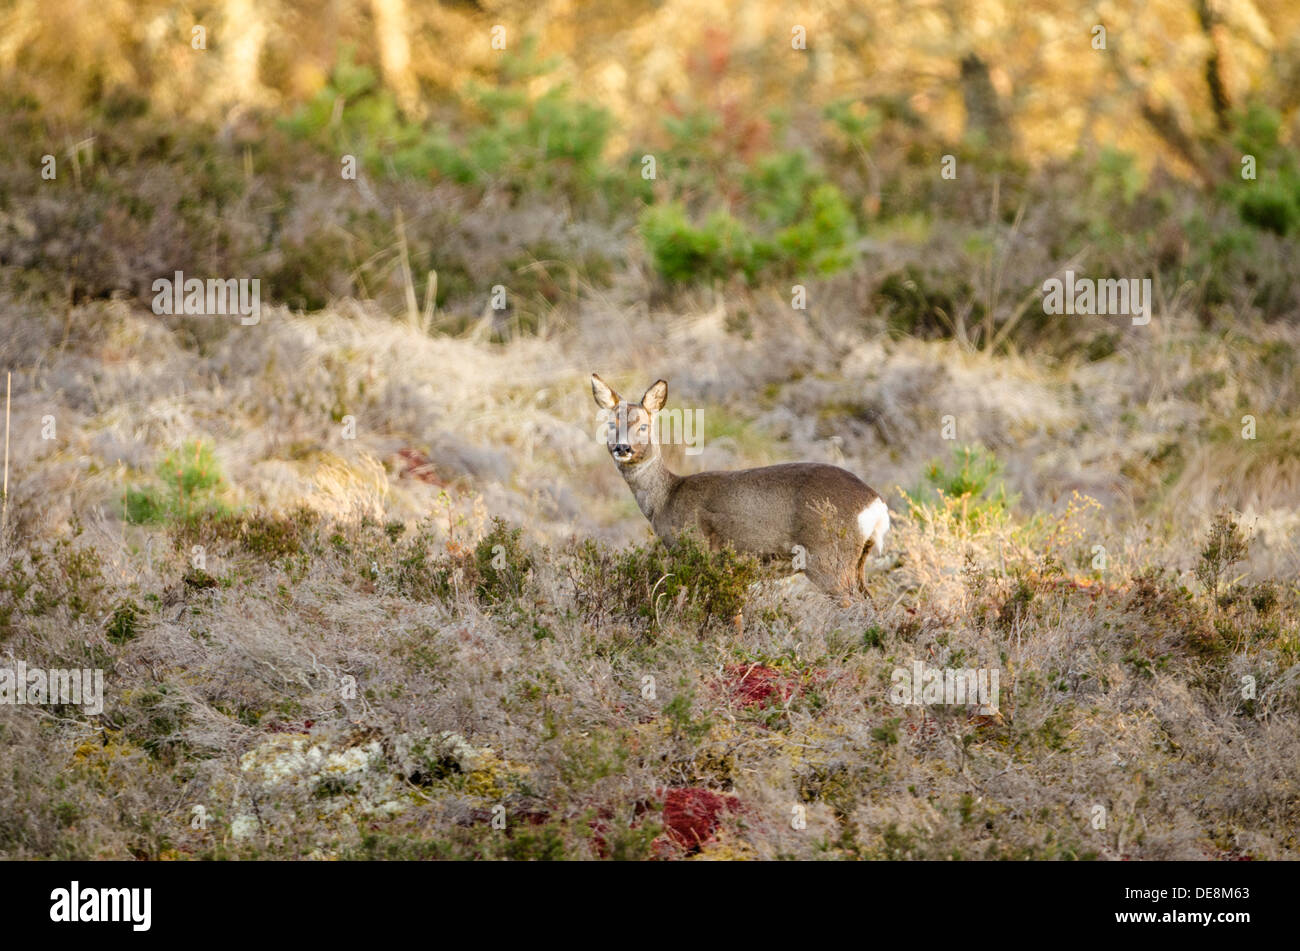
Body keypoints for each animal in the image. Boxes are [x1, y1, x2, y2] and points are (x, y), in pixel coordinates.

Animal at [590, 373, 890, 601]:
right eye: (611, 425)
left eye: (643, 426)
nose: (623, 448)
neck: (666, 498)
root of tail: (875, 504)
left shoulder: (697, 550)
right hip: (857, 560)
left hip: (827, 556)